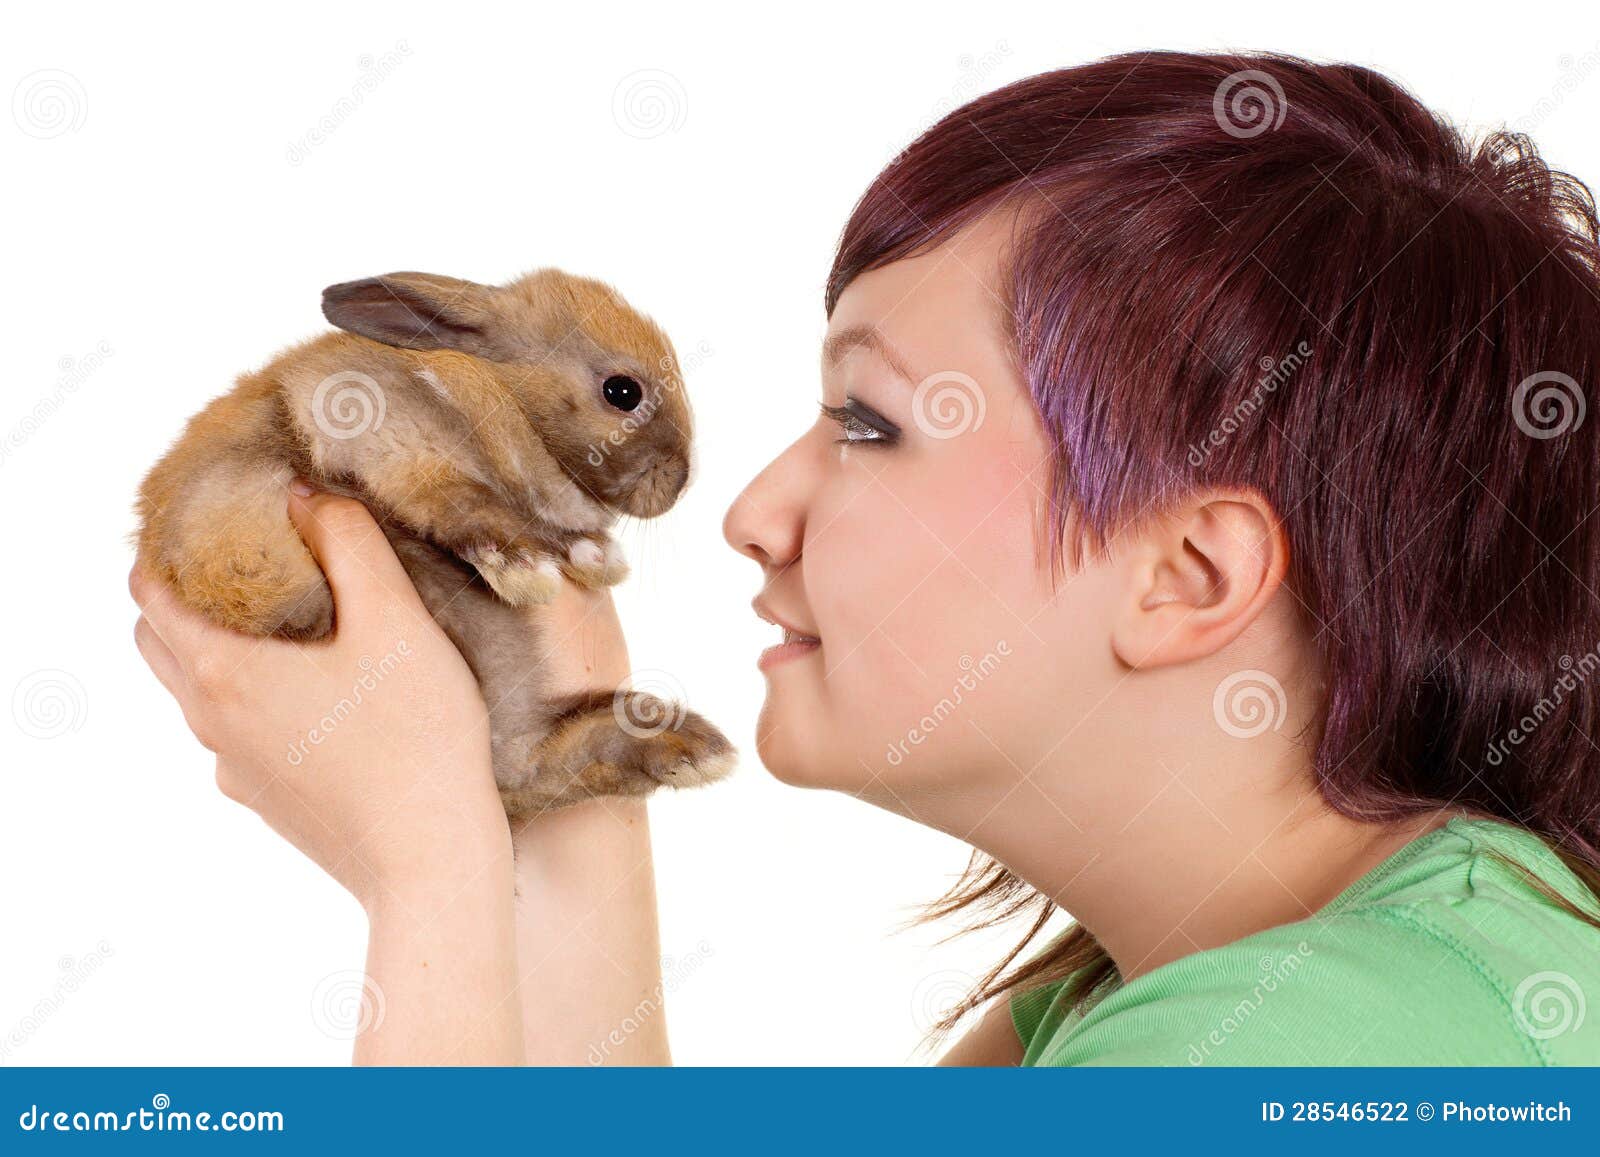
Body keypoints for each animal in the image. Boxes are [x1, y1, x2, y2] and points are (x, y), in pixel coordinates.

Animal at [136, 268, 735, 815]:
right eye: (622, 392)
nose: (681, 481)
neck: (507, 403)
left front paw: (591, 553)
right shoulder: (391, 438)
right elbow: (460, 504)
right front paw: (526, 566)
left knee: (528, 769)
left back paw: (681, 743)